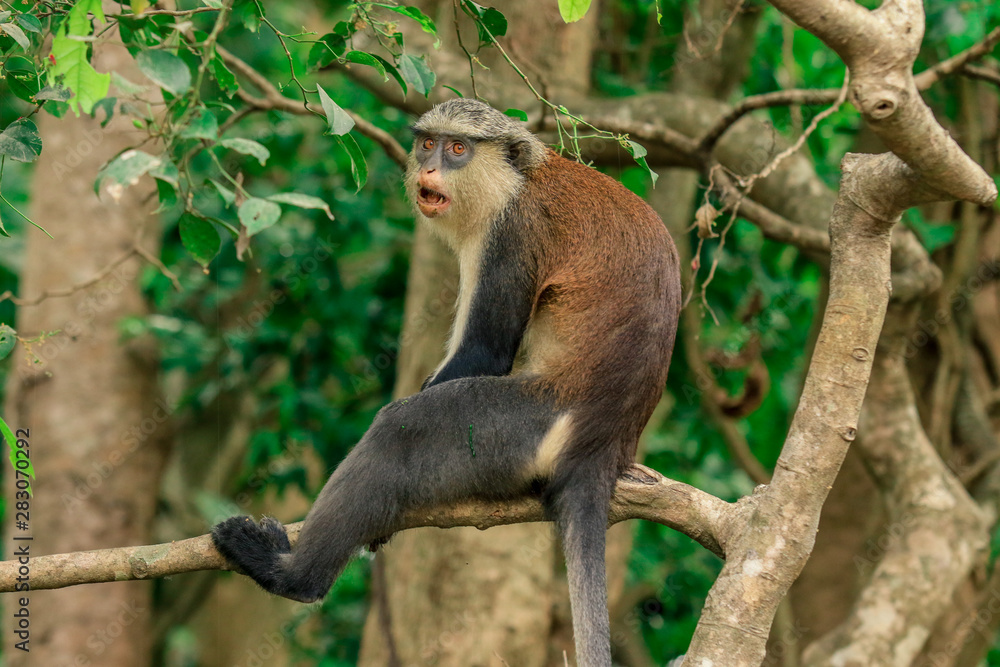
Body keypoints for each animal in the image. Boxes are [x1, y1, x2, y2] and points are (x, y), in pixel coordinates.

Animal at [212, 98, 681, 667]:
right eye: (427, 143)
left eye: (458, 148)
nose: (431, 169)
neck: (518, 179)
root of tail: (603, 445)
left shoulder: (510, 234)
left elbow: (484, 352)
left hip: (511, 432)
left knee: (401, 432)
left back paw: (294, 576)